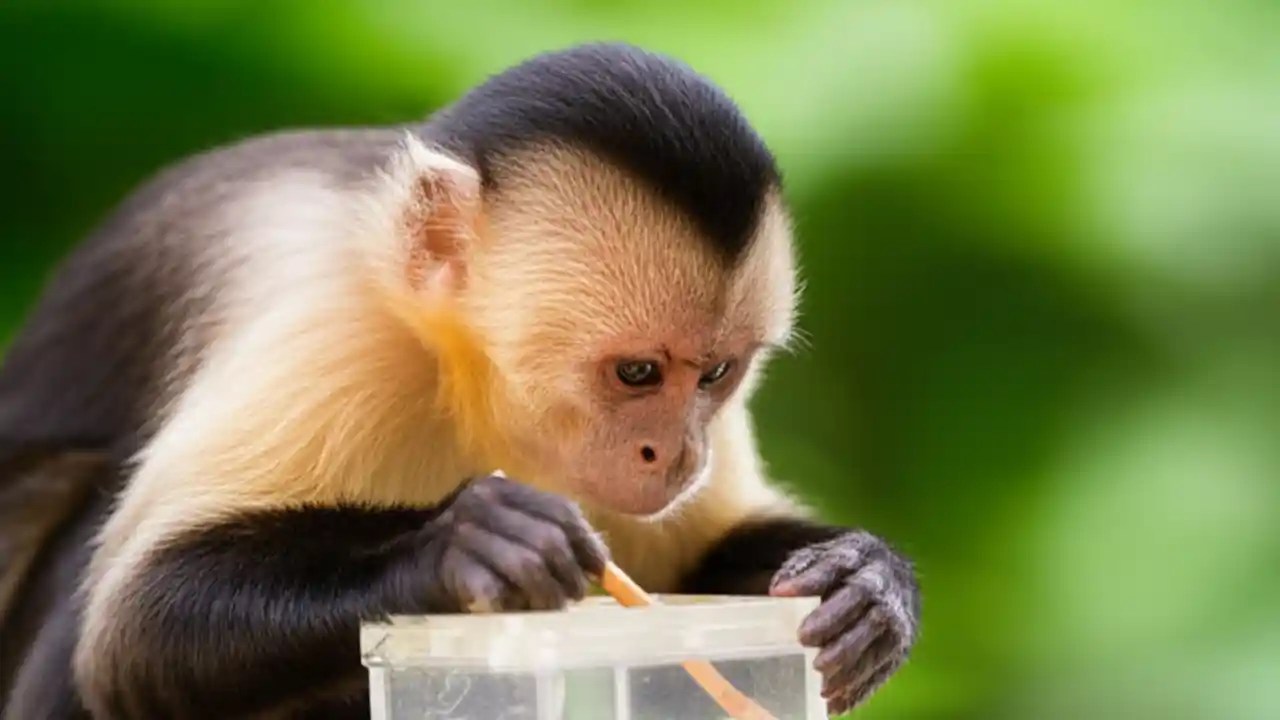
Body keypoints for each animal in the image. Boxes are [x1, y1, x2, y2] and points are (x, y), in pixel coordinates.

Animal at [0, 43, 919, 719]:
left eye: (716, 374)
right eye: (638, 373)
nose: (680, 454)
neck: (460, 365)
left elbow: (687, 566)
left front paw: (865, 580)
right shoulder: (333, 331)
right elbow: (130, 633)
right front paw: (461, 540)